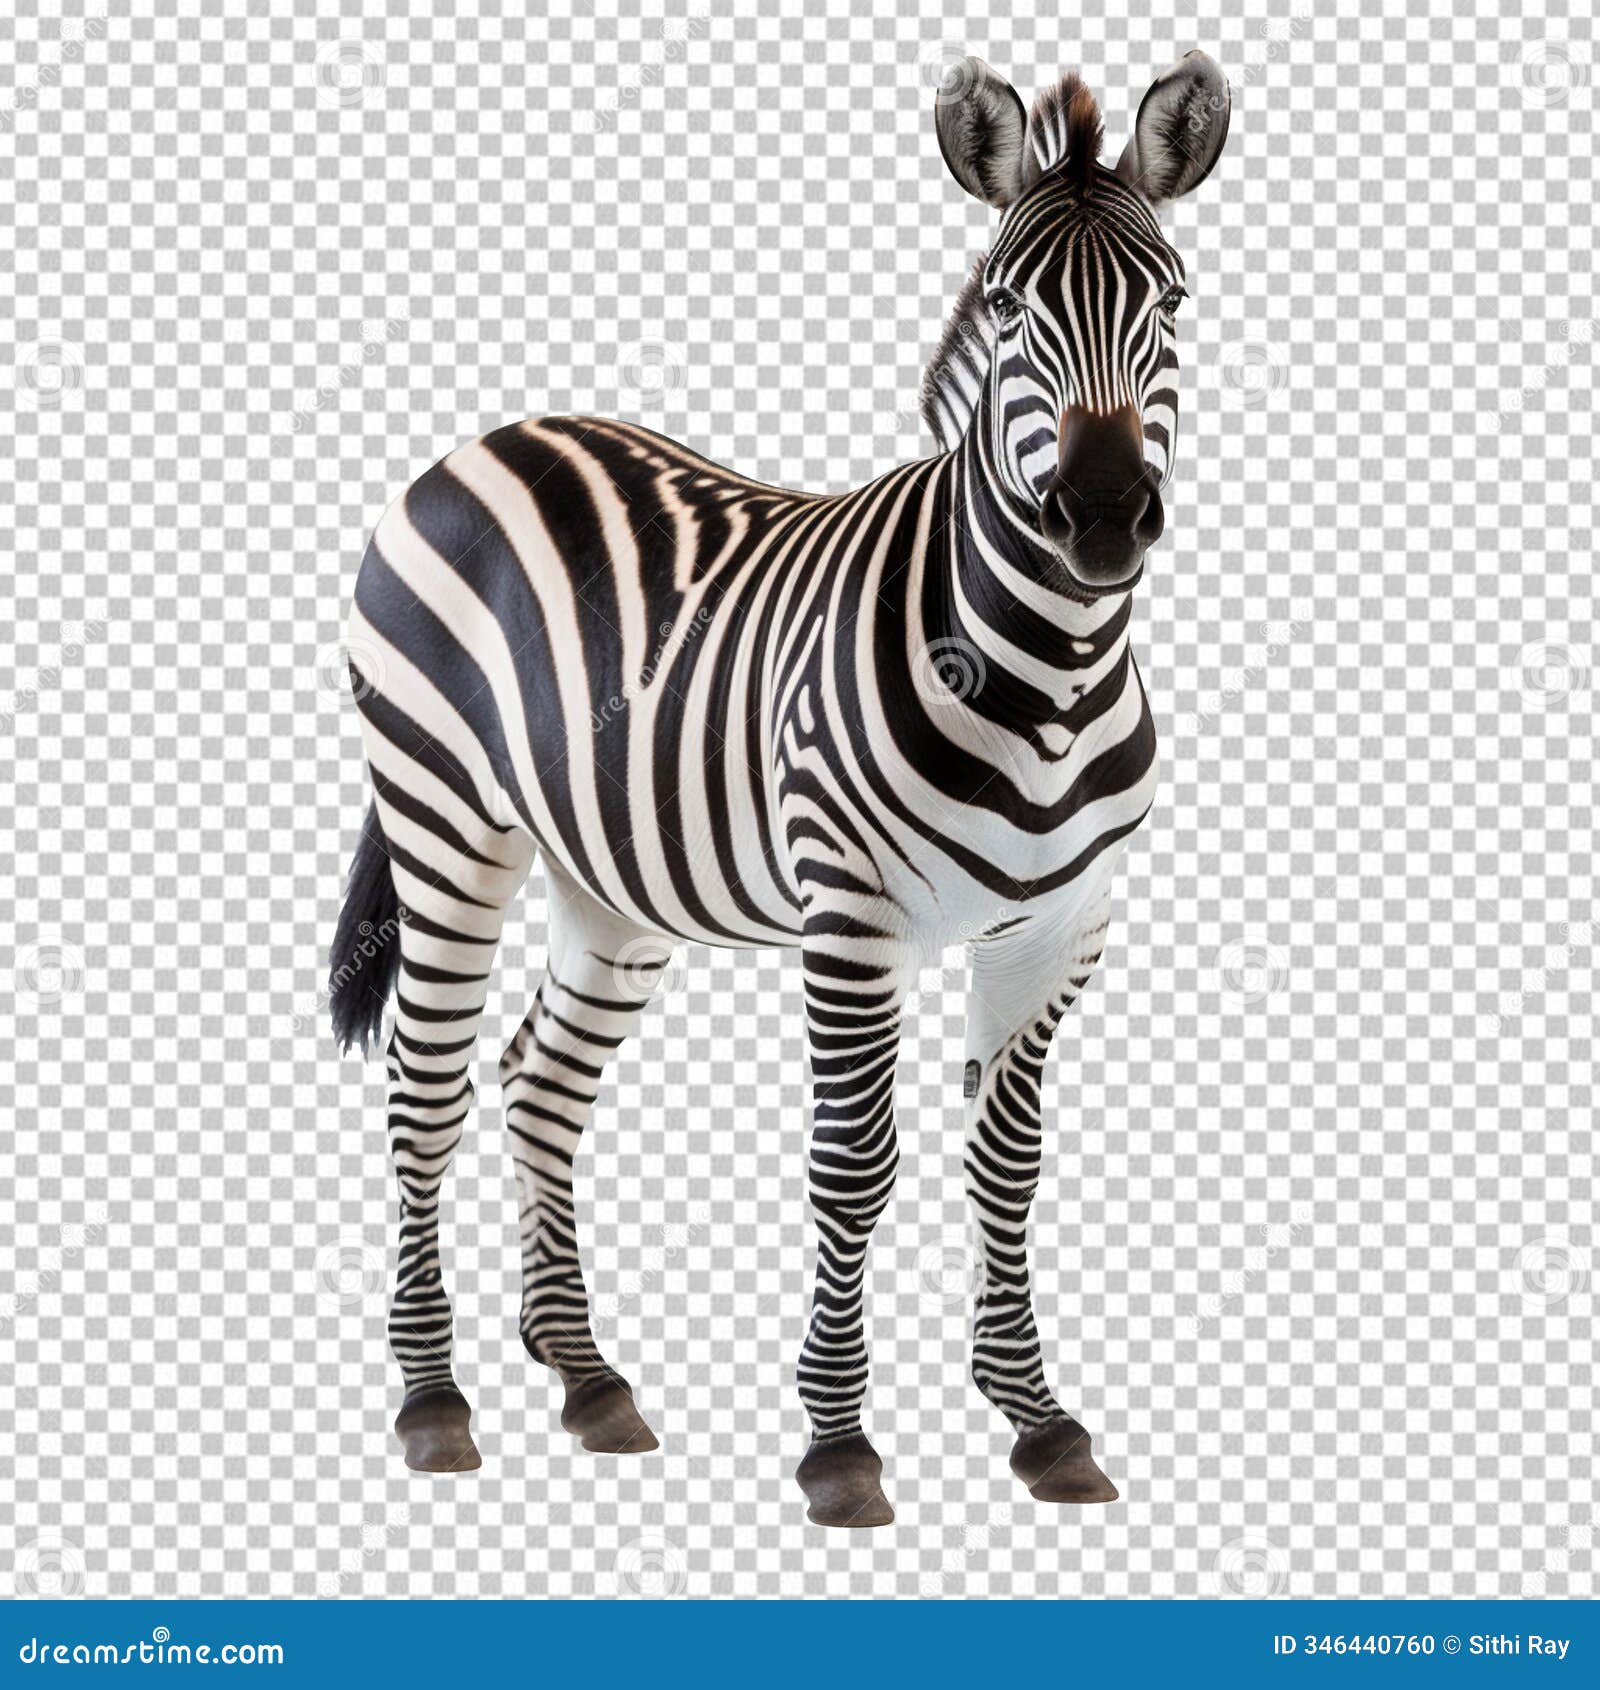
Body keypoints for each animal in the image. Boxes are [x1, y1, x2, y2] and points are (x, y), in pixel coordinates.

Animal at [330, 51, 1230, 1527]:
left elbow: (1010, 1161)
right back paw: (430, 1399)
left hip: (610, 880)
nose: (1101, 518)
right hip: (446, 822)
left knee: (538, 1081)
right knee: (428, 1090)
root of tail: (487, 438)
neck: (1044, 675)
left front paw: (1037, 1418)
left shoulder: (1061, 926)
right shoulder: (850, 916)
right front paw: (838, 1444)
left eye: (1170, 300)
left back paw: (585, 1375)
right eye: (1007, 304)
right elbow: (854, 1165)